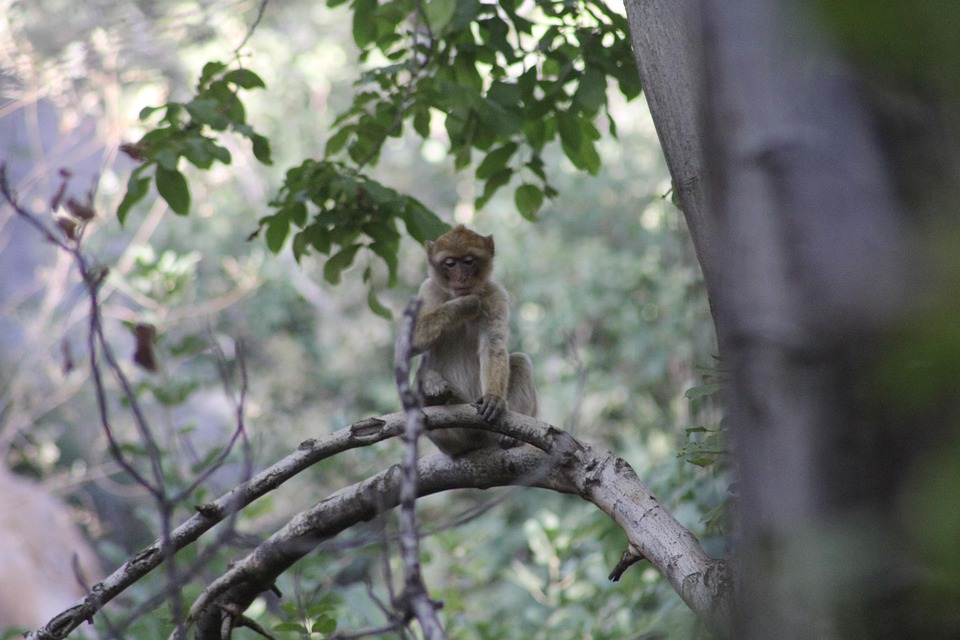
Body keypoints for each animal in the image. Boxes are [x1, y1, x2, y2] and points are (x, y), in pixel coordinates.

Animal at [411, 224, 538, 456]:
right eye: (450, 263)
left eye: (468, 261)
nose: (462, 278)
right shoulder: (428, 290)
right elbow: (409, 341)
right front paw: (463, 305)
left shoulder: (495, 294)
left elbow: (493, 346)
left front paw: (493, 397)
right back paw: (435, 392)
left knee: (520, 361)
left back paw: (511, 438)